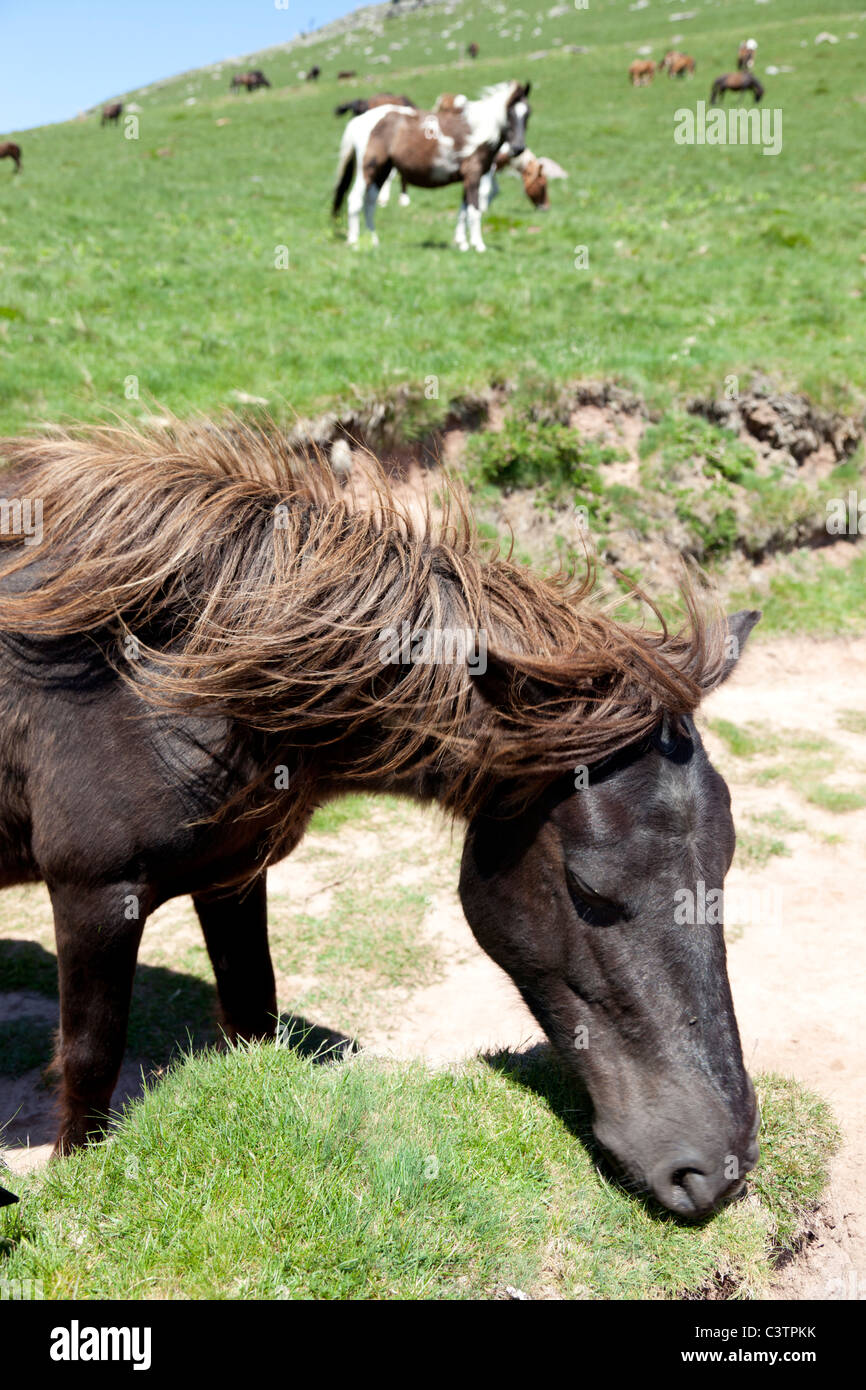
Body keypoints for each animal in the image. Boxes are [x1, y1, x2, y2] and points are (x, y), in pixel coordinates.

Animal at [0, 420, 762, 1217]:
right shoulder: (94, 895)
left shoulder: (231, 876)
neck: (171, 677)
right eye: (587, 889)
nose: (717, 1168)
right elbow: (90, 1061)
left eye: (725, 868)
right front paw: (70, 1183)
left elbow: (253, 1012)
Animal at [332, 81, 532, 253]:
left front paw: (462, 242)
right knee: (355, 201)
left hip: (382, 171)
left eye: (527, 113)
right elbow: (474, 211)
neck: (477, 131)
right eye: (509, 112)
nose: (518, 148)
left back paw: (373, 239)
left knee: (370, 203)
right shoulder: (474, 176)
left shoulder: (466, 179)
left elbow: (463, 211)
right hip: (368, 170)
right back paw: (354, 241)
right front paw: (478, 245)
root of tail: (359, 119)